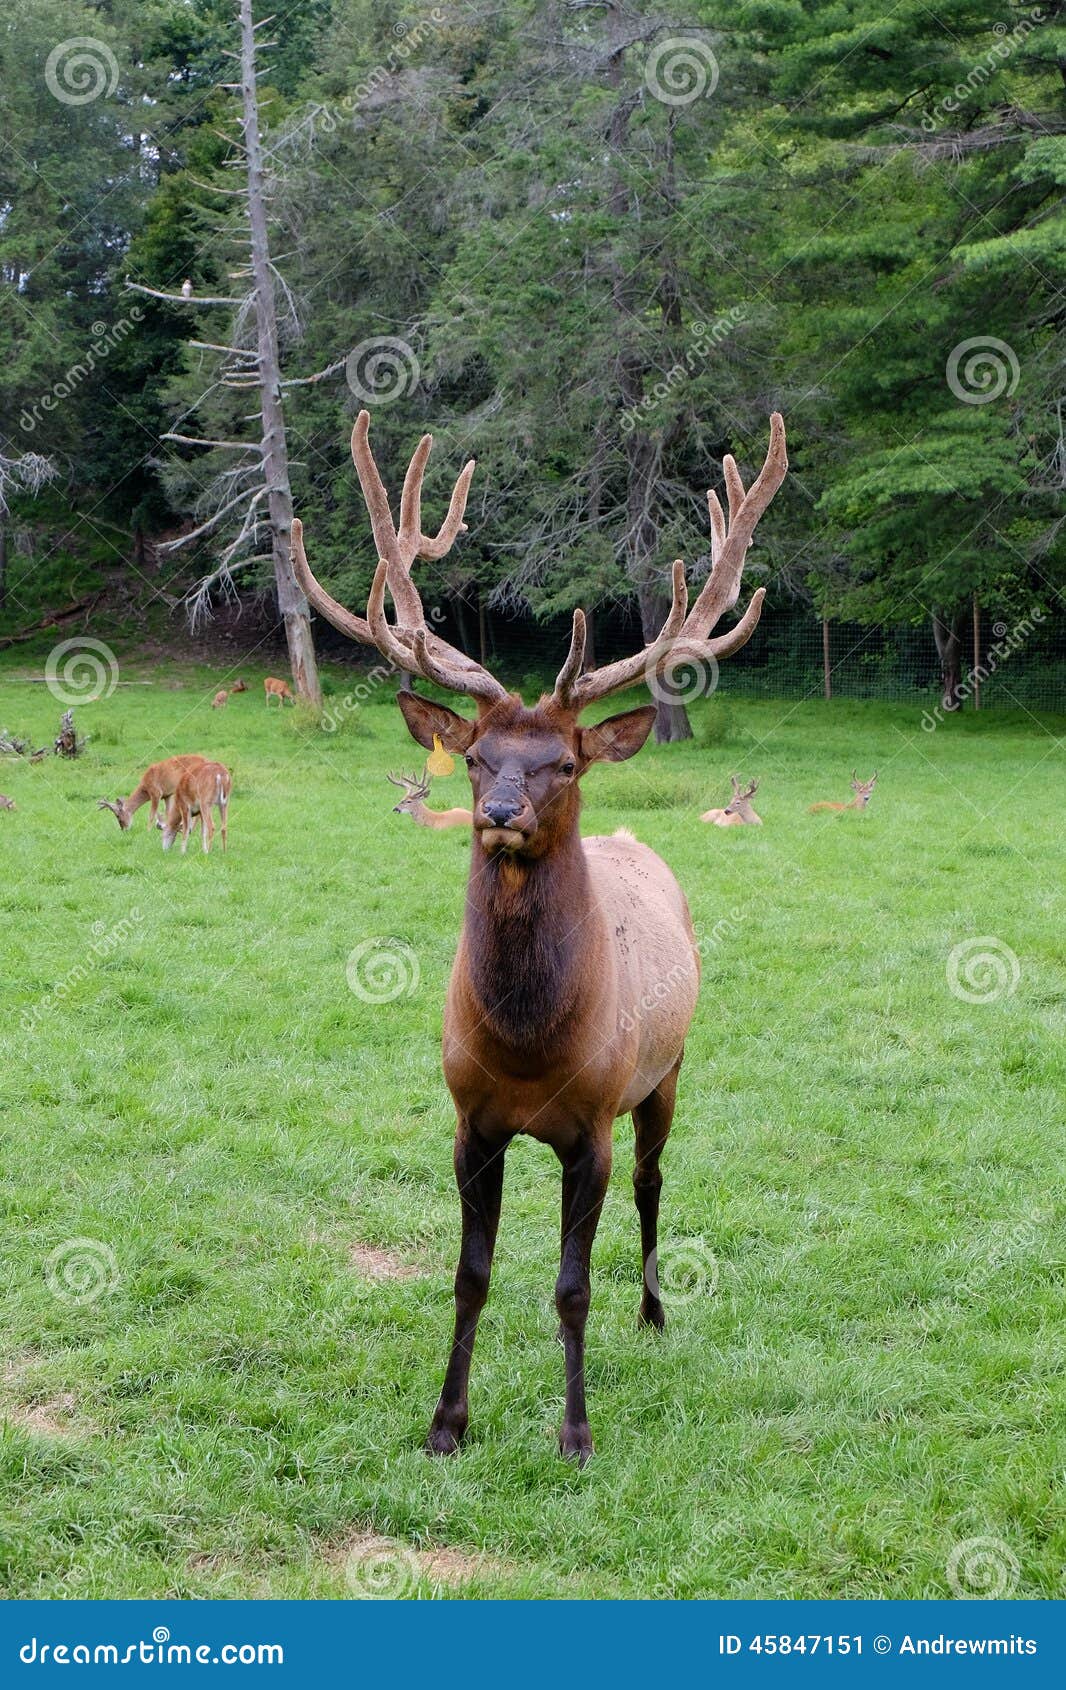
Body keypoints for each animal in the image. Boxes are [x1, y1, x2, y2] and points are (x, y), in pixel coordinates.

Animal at [289, 406, 787, 1462]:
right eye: (478, 756)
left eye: (562, 760)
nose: (501, 813)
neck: (526, 1045)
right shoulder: (472, 1120)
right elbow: (471, 1276)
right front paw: (445, 1424)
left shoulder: (588, 1125)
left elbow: (572, 1286)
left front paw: (576, 1431)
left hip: (668, 1071)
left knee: (652, 1183)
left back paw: (654, 1315)